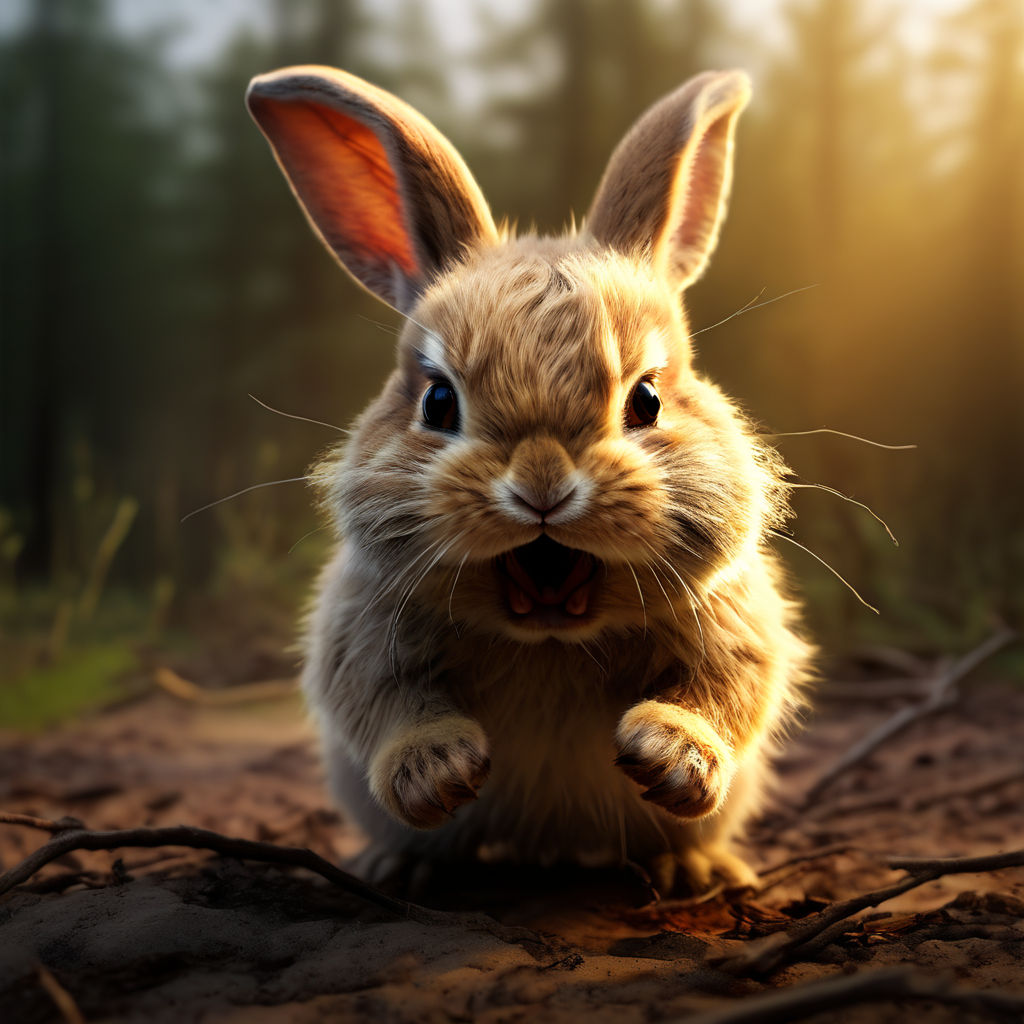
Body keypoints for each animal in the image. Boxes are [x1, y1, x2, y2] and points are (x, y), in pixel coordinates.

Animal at [246, 64, 813, 895]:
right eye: (438, 402)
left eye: (646, 400)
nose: (542, 484)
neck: (550, 637)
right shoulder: (364, 636)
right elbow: (382, 705)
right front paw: (440, 769)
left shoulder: (732, 628)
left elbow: (727, 693)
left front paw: (666, 755)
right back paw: (398, 865)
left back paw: (692, 868)